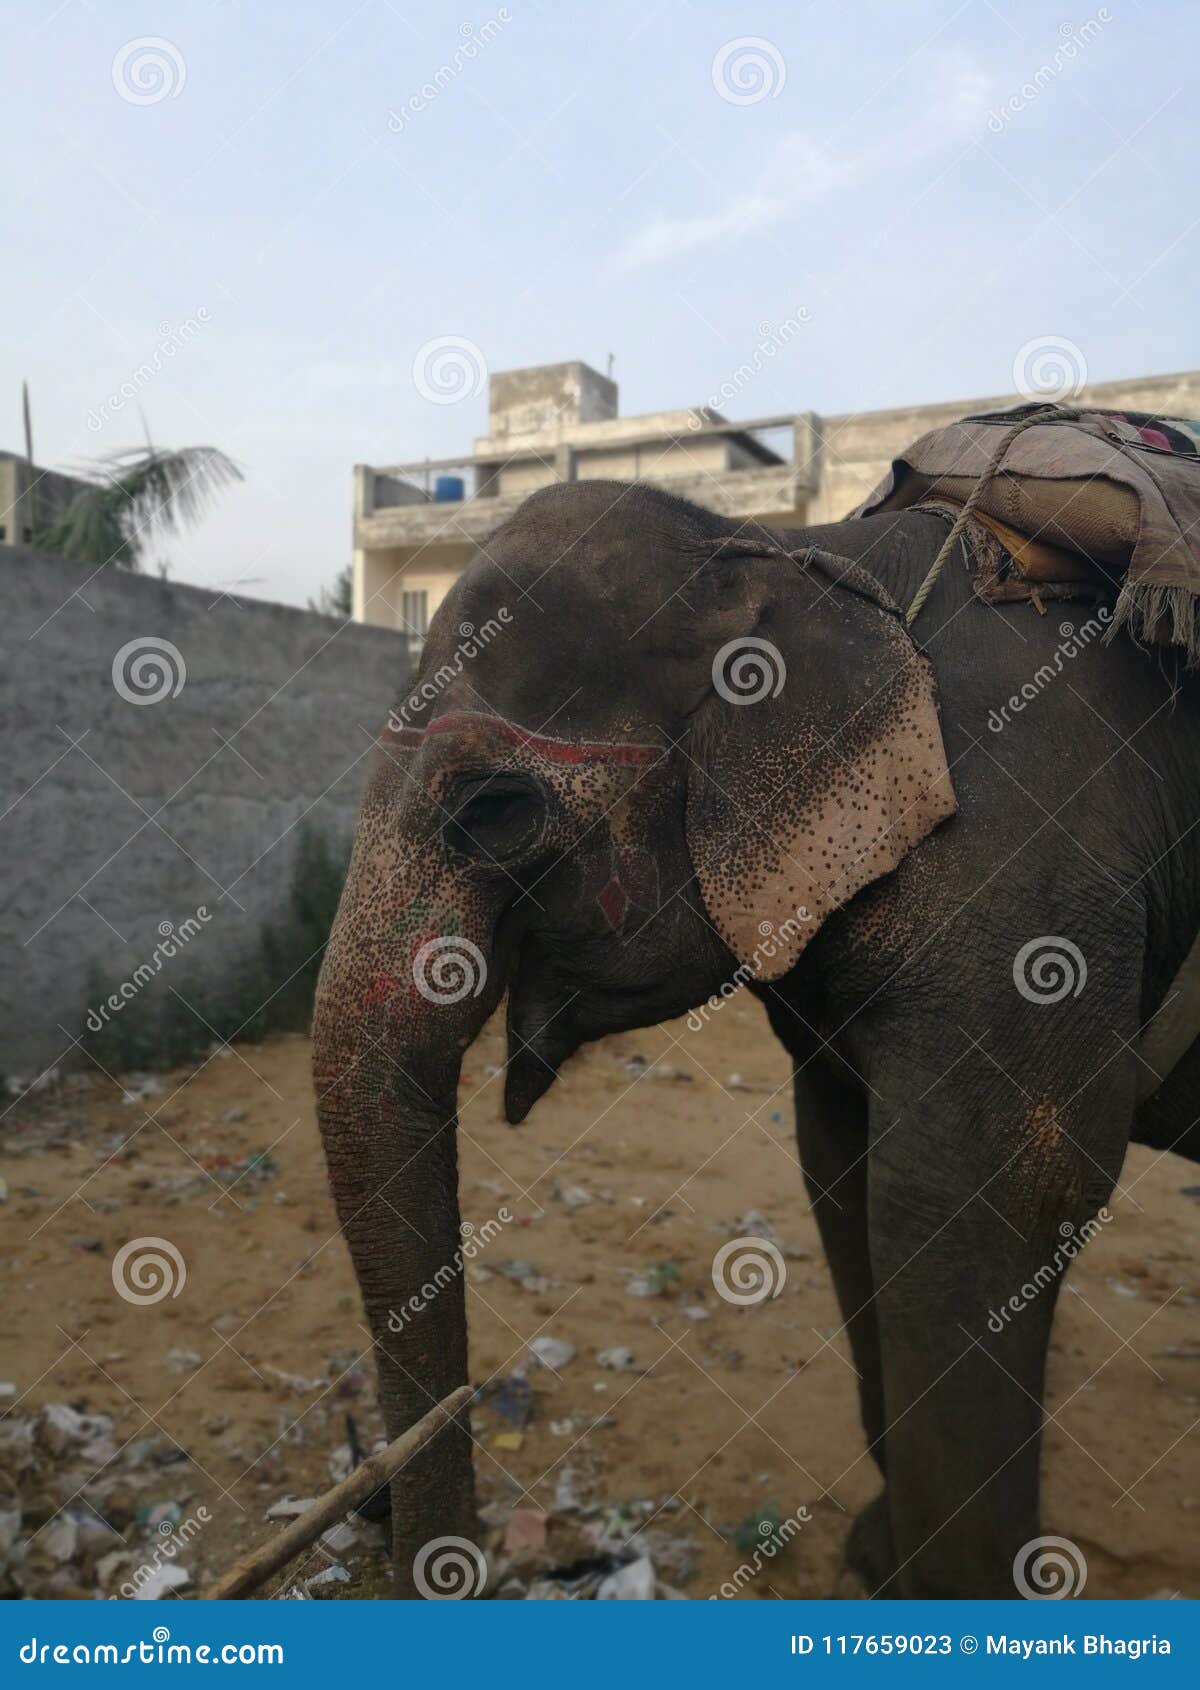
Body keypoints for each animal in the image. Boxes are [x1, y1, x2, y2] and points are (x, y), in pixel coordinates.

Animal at [312, 477, 1200, 1599]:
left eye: (498, 810)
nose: (372, 1504)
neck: (785, 558)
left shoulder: (1035, 893)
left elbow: (979, 1203)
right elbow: (842, 1168)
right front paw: (879, 1561)